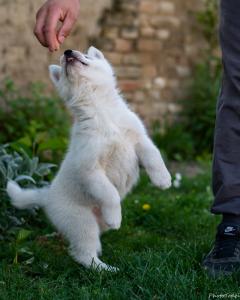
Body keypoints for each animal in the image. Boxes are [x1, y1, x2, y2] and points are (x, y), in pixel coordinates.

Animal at [6, 46, 172, 272]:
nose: (67, 51)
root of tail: (47, 196)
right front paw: (115, 217)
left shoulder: (139, 139)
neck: (101, 112)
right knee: (83, 253)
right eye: (62, 61)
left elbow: (154, 156)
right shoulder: (90, 167)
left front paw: (163, 180)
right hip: (81, 222)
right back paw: (105, 269)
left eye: (86, 55)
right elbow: (110, 193)